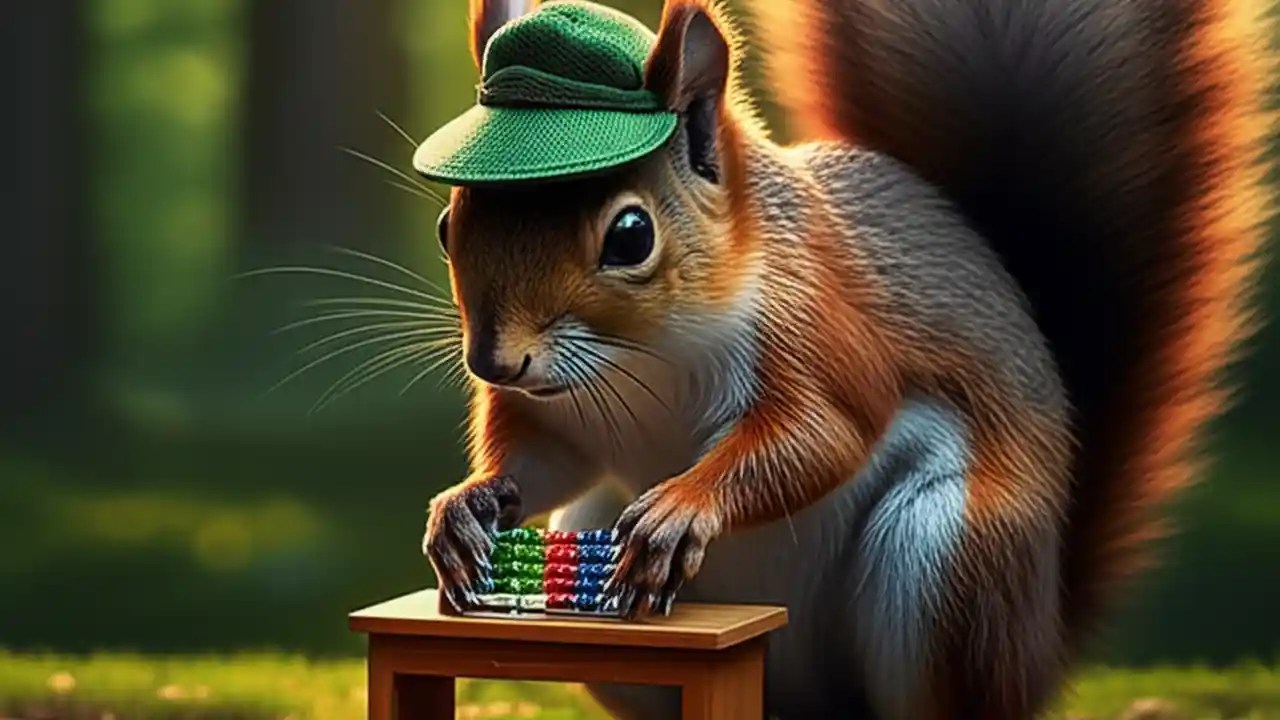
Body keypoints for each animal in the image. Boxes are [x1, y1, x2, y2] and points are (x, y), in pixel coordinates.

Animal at [419, 0, 1272, 717]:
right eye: (448, 226)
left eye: (631, 236)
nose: (495, 363)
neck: (643, 361)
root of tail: (1038, 647)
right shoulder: (560, 415)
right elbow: (542, 460)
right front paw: (464, 507)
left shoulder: (821, 325)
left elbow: (821, 435)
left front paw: (681, 508)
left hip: (946, 562)